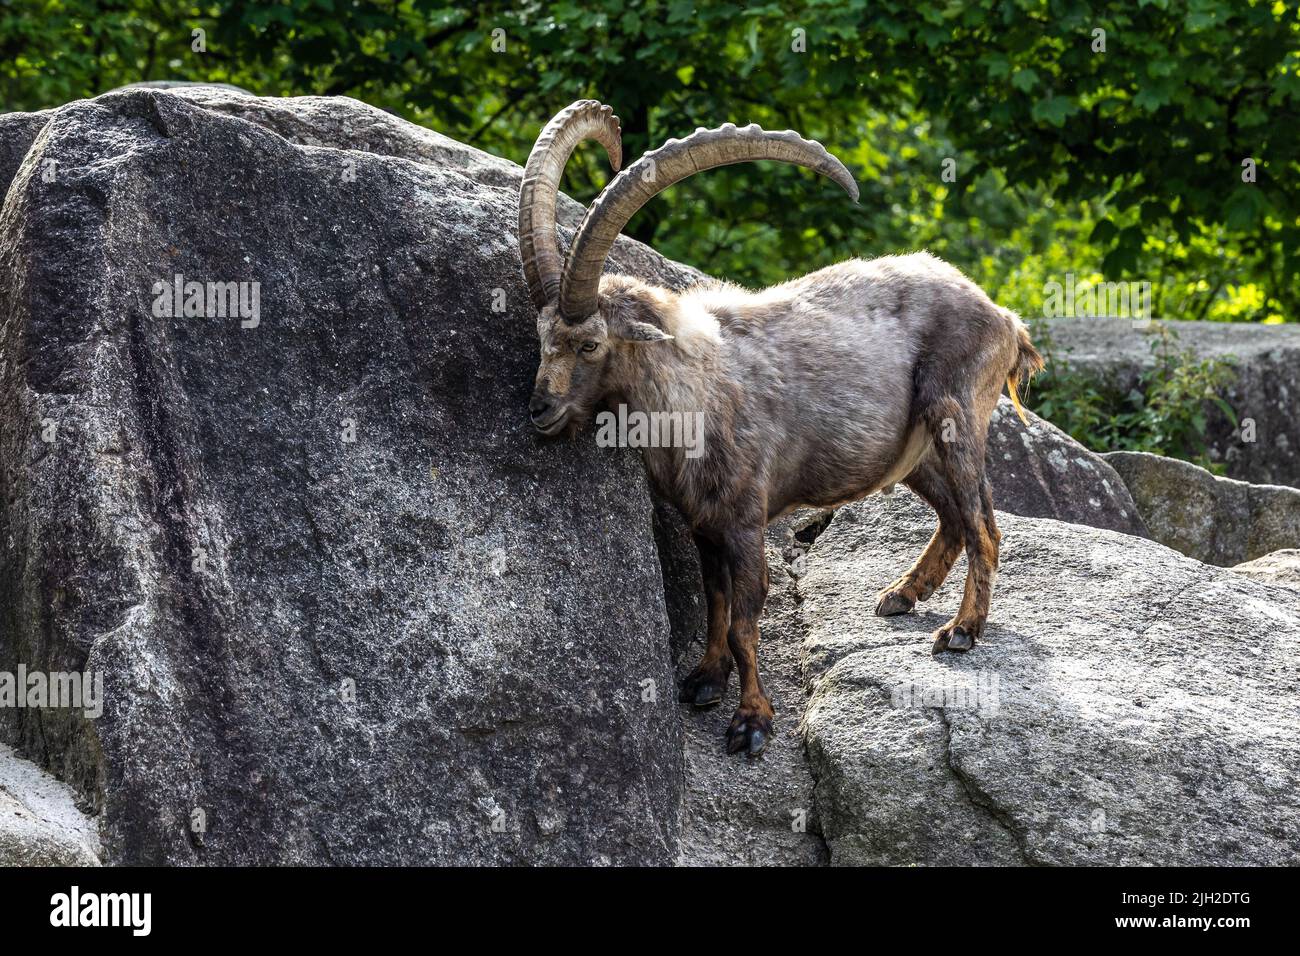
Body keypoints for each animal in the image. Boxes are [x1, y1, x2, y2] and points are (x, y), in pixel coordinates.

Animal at [518, 101, 1043, 757]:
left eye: (590, 343)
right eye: (542, 336)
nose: (539, 410)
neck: (693, 392)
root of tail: (1005, 318)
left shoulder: (745, 521)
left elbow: (746, 621)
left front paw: (751, 722)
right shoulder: (704, 524)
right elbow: (716, 605)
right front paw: (704, 681)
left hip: (956, 414)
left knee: (982, 524)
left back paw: (961, 630)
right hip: (911, 451)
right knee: (951, 516)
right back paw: (902, 595)